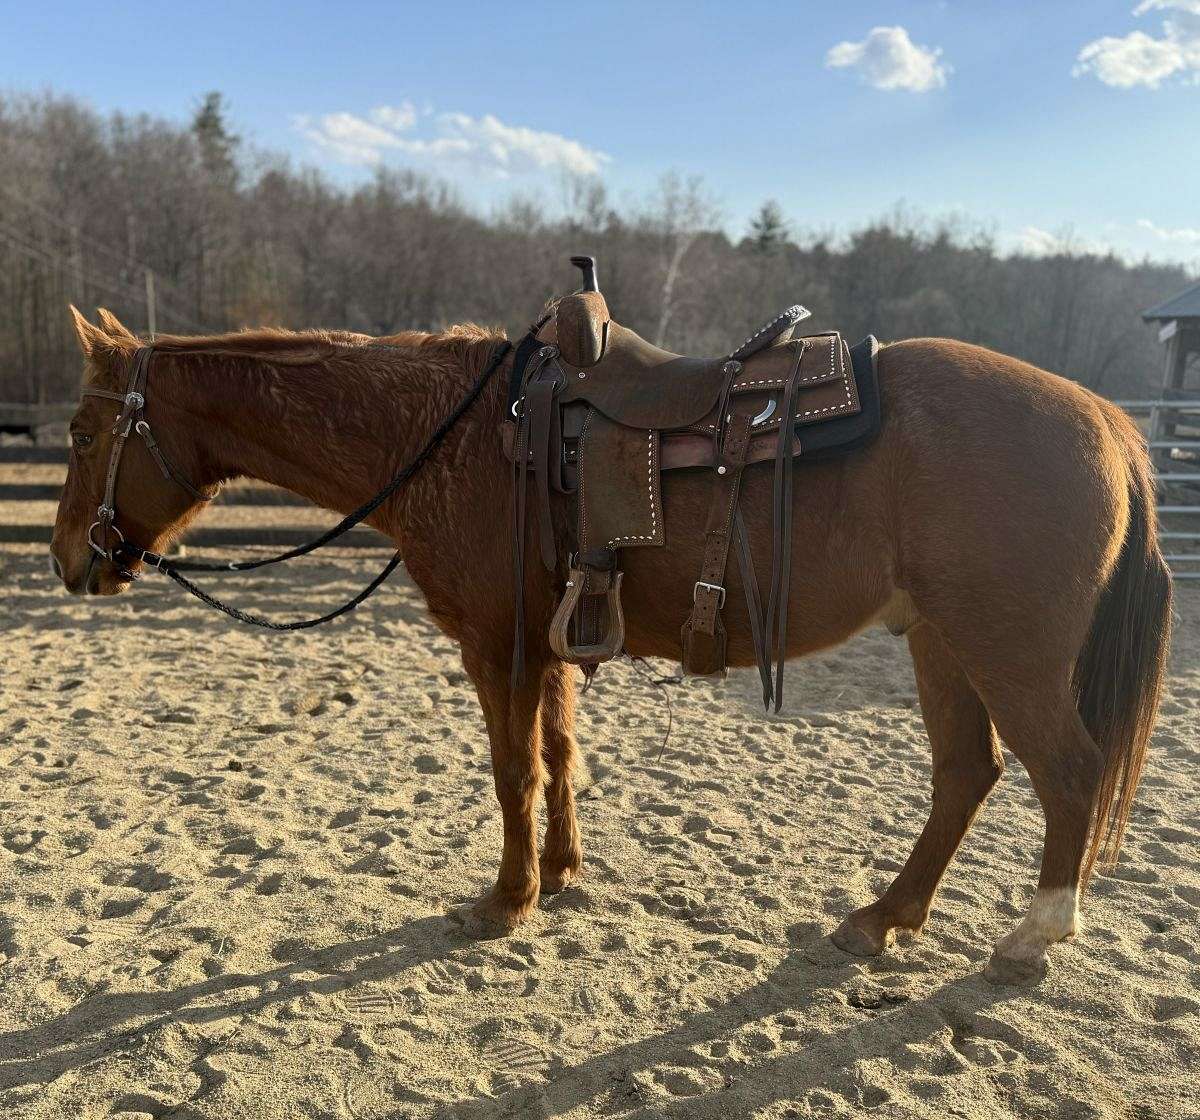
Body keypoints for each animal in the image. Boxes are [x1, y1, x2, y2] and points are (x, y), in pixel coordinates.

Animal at [51, 306, 1172, 985]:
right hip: (940, 643)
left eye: (79, 432)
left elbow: (512, 770)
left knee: (1067, 773)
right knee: (965, 775)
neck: (452, 436)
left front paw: (506, 900)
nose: (70, 560)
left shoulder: (497, 645)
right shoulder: (548, 647)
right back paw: (884, 916)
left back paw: (1033, 935)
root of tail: (1114, 425)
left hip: (1005, 654)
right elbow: (557, 757)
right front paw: (559, 872)